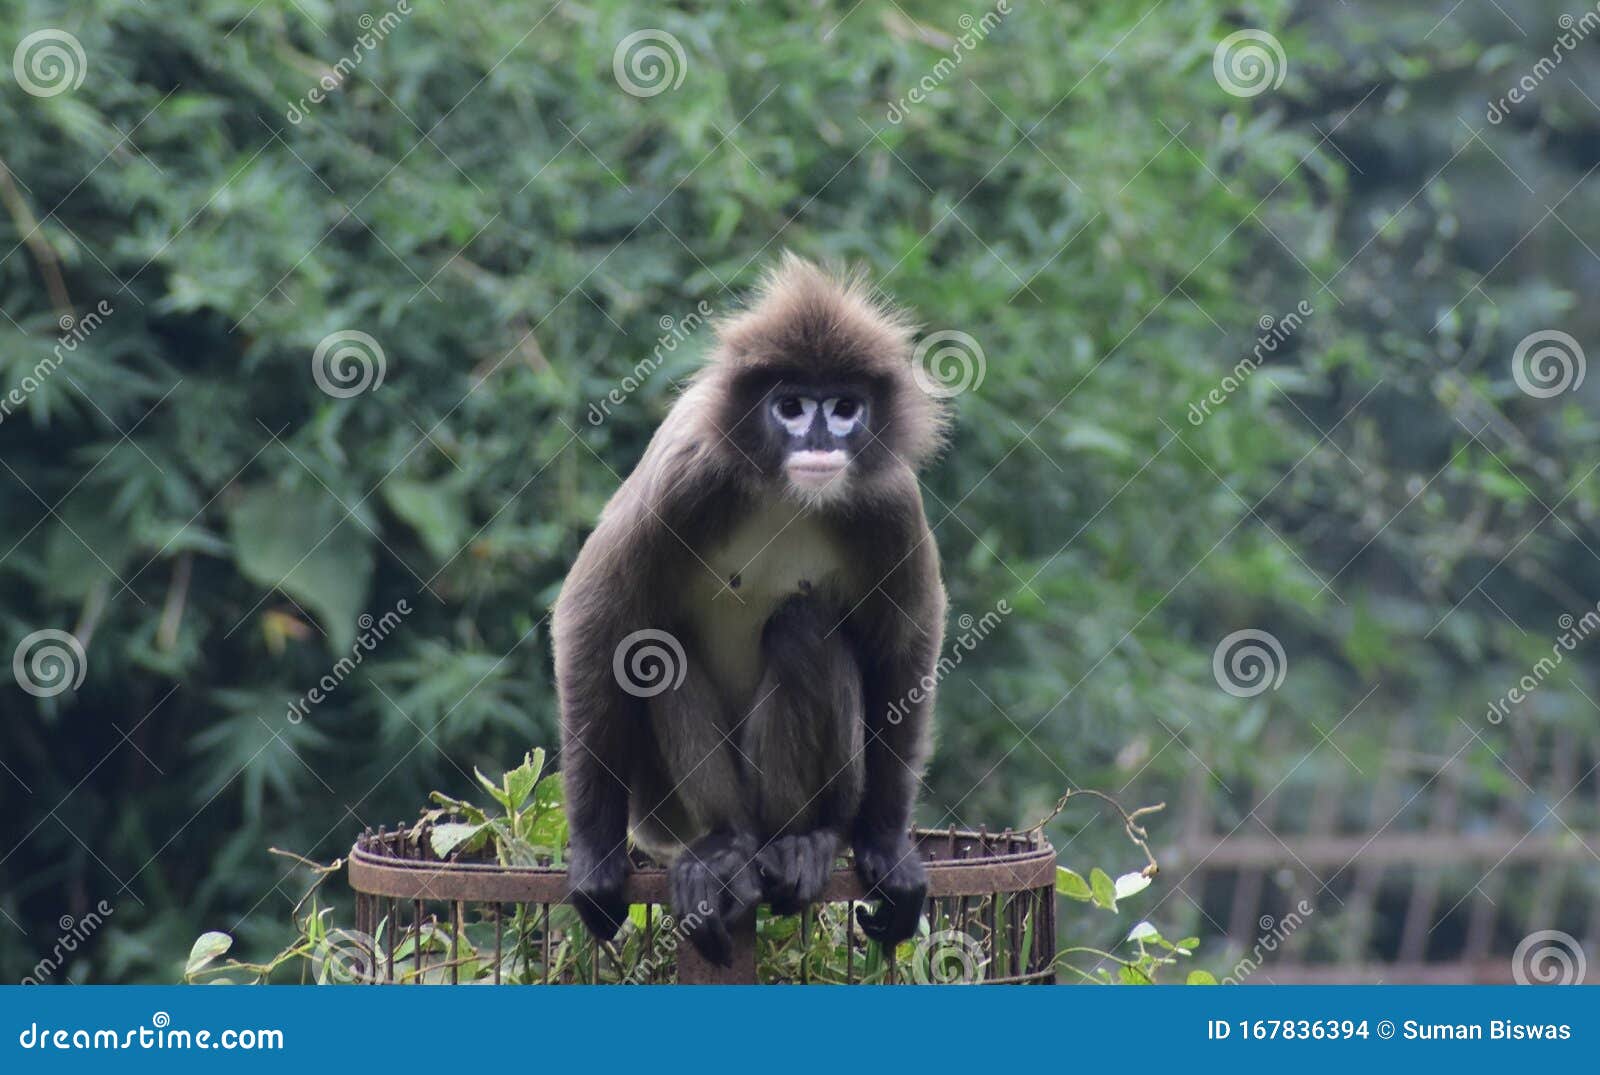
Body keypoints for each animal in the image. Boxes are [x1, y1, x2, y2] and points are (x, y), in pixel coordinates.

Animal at [552, 255, 948, 966]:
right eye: (790, 407)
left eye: (844, 408)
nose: (818, 440)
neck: (787, 491)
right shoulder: (687, 476)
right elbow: (594, 623)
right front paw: (595, 864)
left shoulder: (889, 503)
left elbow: (906, 648)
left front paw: (884, 847)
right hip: (661, 810)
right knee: (655, 647)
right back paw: (724, 849)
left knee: (802, 627)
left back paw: (804, 842)